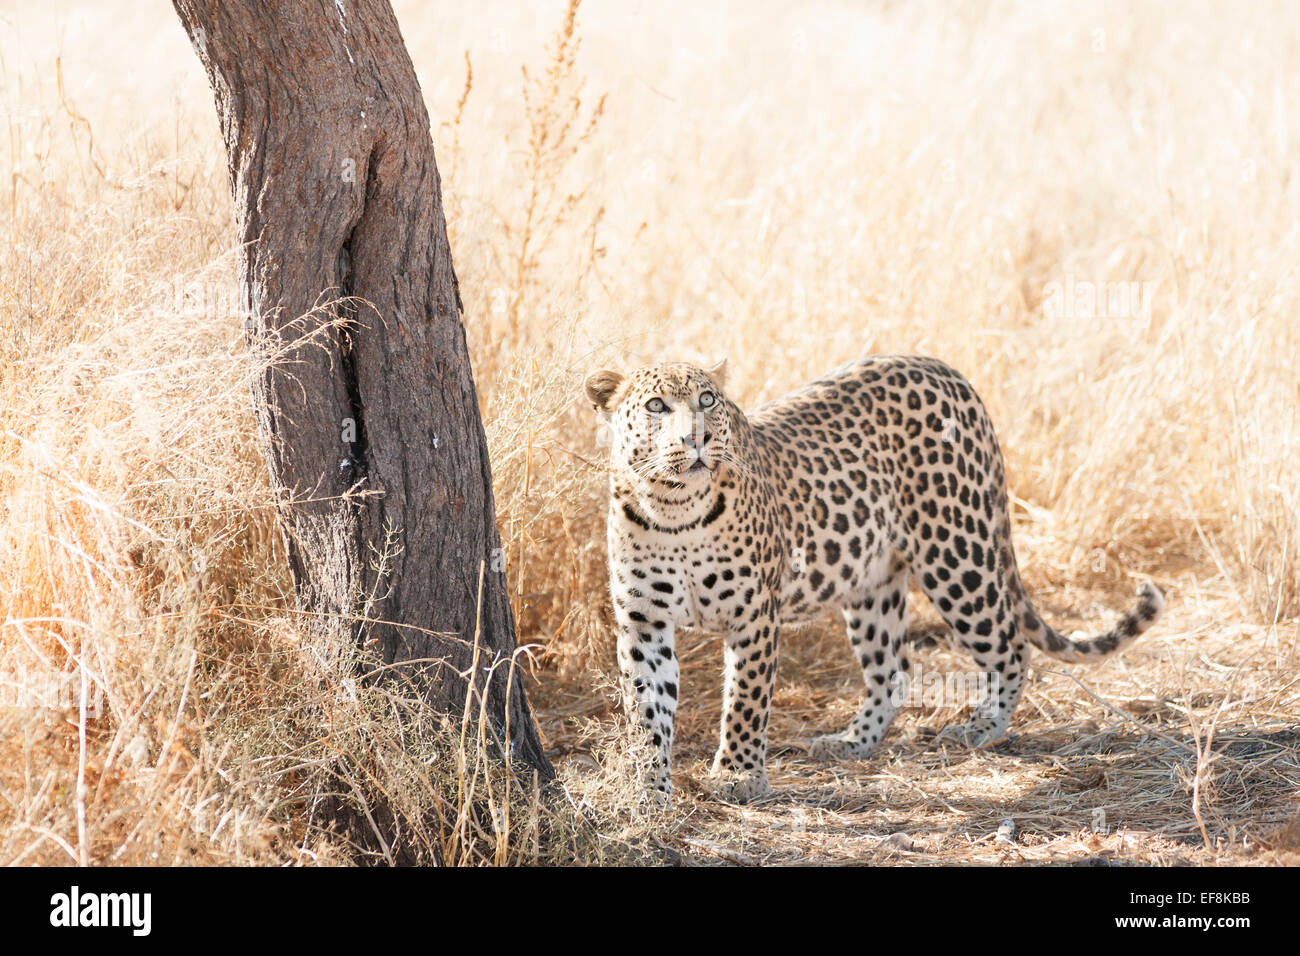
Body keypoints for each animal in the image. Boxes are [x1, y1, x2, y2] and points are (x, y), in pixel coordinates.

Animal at [584, 355, 1164, 803]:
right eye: (657, 406)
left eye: (707, 400)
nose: (697, 438)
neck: (674, 507)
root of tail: (947, 370)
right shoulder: (643, 623)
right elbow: (647, 709)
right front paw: (646, 786)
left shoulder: (753, 617)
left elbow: (746, 701)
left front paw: (738, 776)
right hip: (873, 585)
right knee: (894, 671)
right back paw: (852, 741)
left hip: (957, 554)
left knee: (1010, 646)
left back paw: (981, 728)